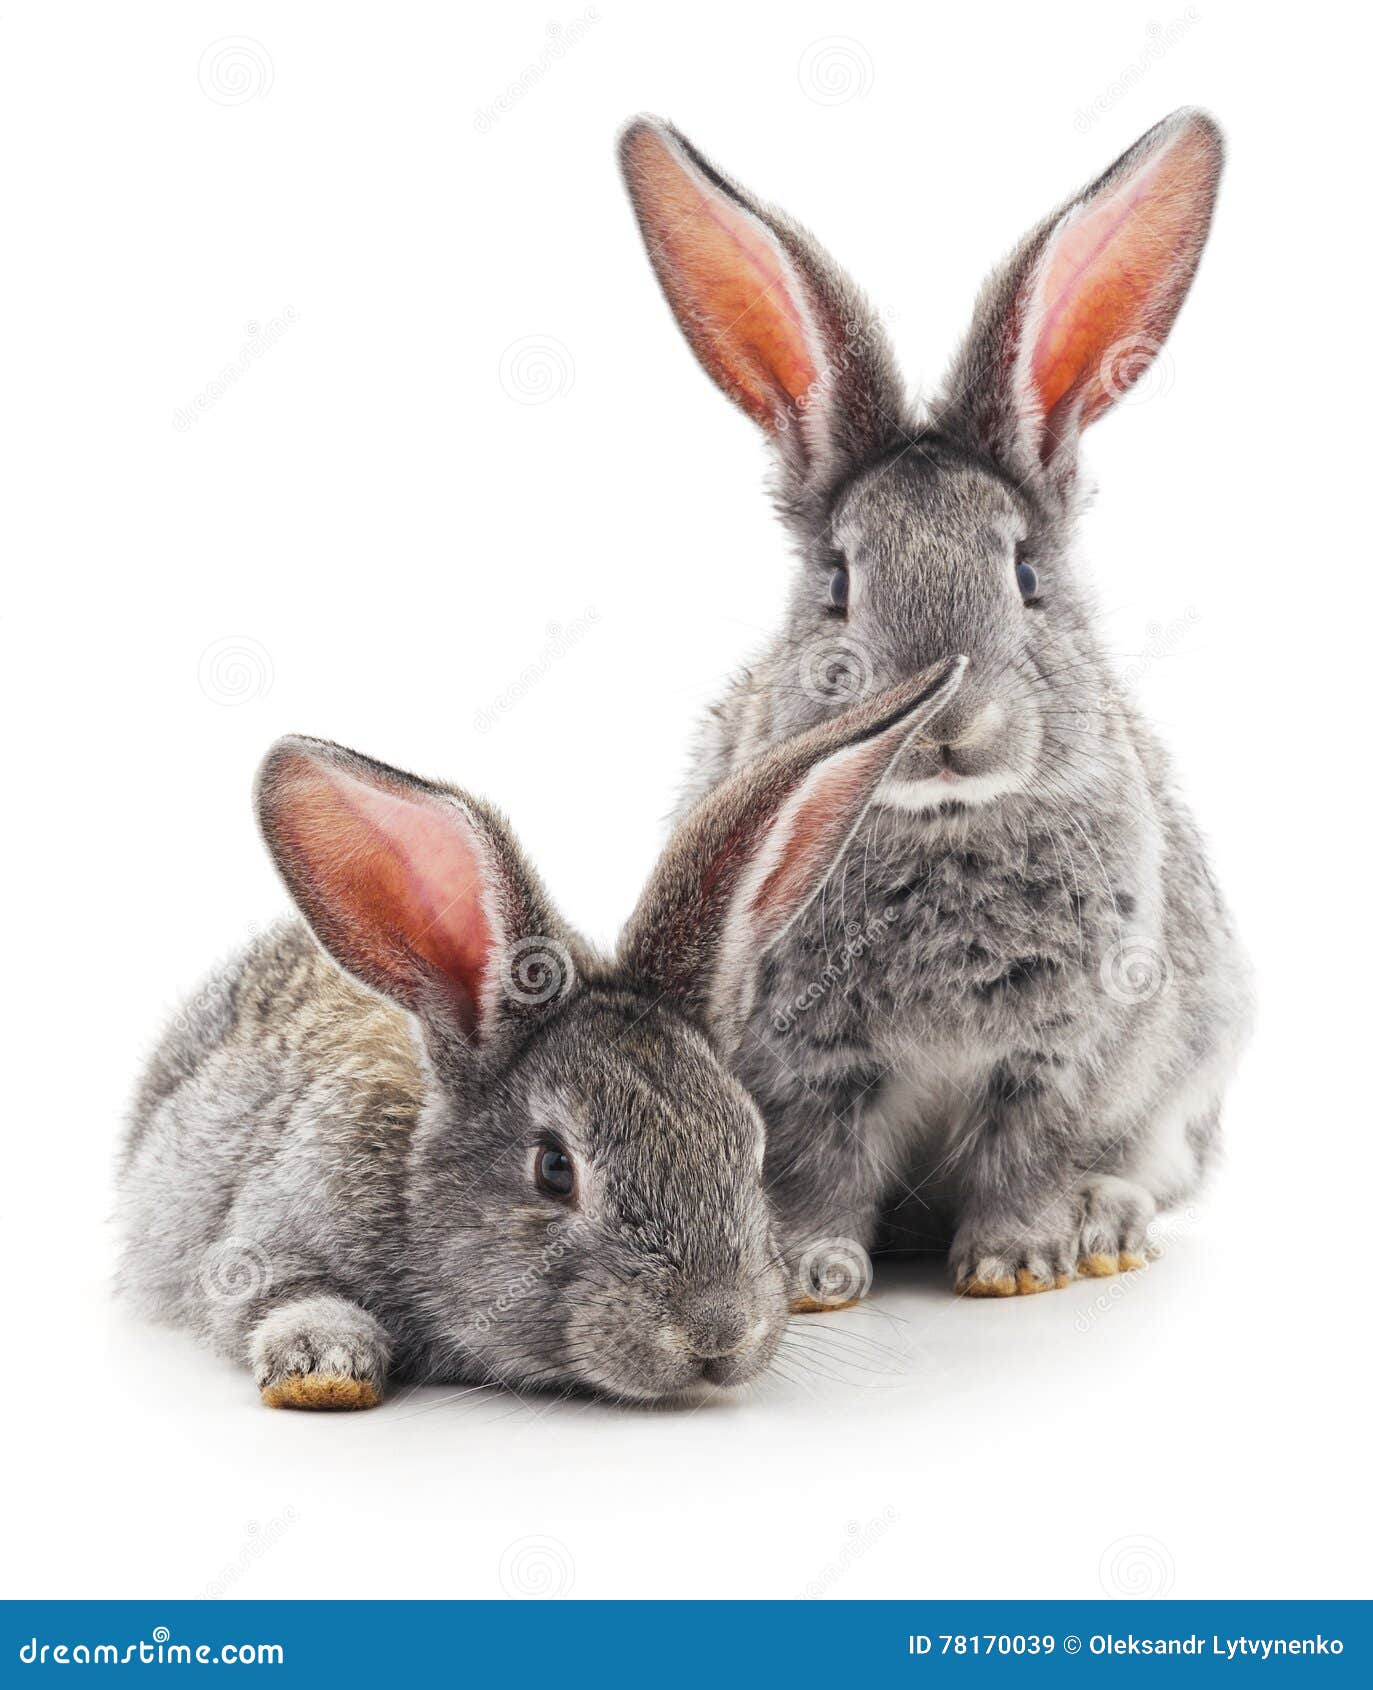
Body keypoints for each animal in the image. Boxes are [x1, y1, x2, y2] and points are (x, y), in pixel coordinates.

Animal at [116, 658, 964, 1407]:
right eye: (555, 1170)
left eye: (752, 1150)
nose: (718, 1335)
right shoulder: (262, 1239)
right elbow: (277, 1297)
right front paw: (325, 1370)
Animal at [618, 108, 1253, 1298]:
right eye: (836, 581)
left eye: (1026, 575)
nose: (950, 727)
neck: (945, 824)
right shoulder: (810, 1062)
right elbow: (823, 1165)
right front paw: (815, 1271)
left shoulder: (1057, 1051)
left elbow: (1025, 1151)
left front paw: (1017, 1260)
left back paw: (1105, 1223)